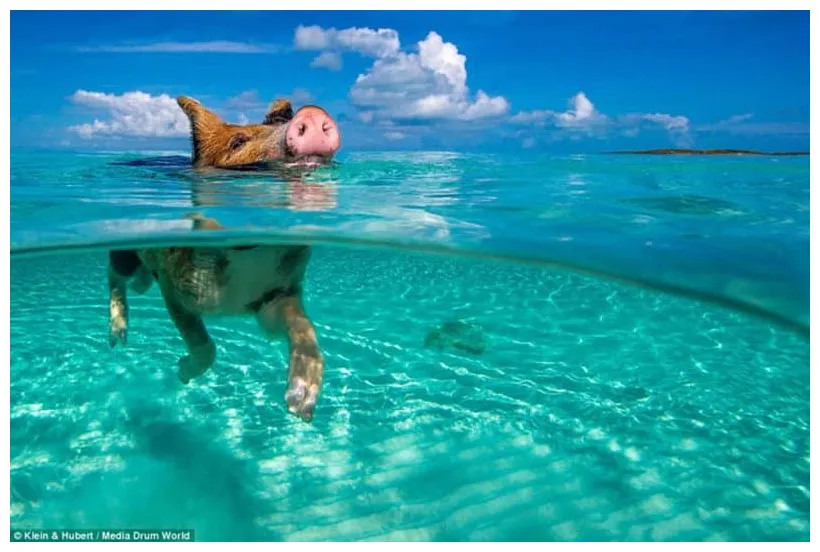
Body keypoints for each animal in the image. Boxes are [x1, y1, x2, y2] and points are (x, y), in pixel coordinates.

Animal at [107, 95, 340, 422]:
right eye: (237, 142)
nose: (312, 112)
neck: (249, 257)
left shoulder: (275, 295)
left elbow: (304, 327)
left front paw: (300, 406)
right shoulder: (174, 287)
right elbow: (204, 344)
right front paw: (181, 373)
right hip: (125, 253)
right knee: (114, 277)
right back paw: (117, 338)